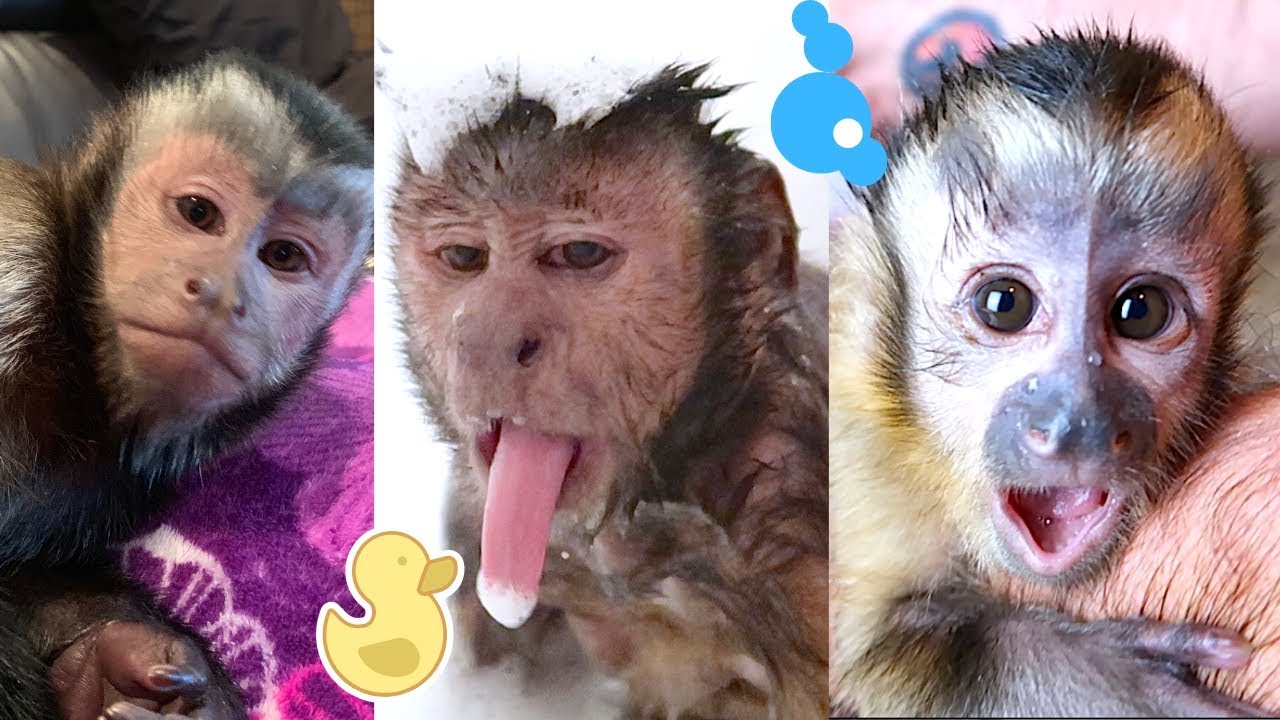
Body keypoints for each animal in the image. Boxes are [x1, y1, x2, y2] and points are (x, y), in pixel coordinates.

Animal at [828, 29, 1274, 716]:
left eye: (1141, 311)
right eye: (1003, 304)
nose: (1078, 421)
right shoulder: (861, 446)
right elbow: (891, 648)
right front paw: (1143, 683)